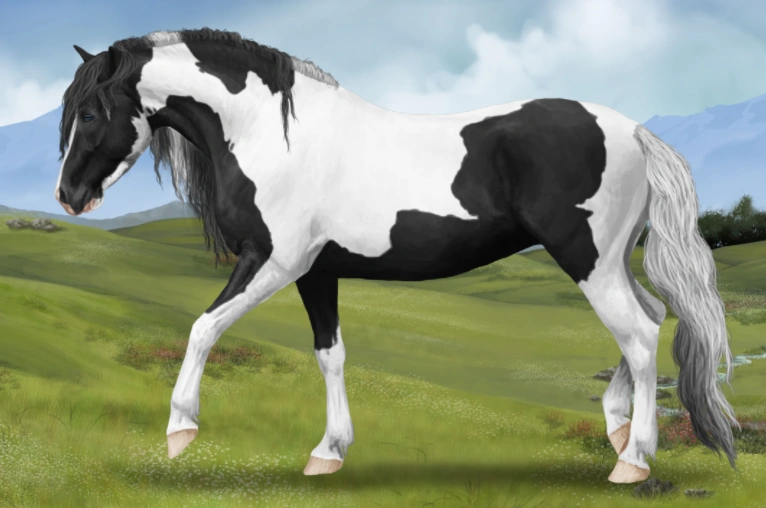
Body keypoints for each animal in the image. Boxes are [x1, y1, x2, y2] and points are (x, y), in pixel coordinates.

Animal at [55, 28, 740, 484]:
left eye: (89, 111)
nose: (68, 197)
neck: (269, 134)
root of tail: (633, 131)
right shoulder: (316, 273)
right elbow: (329, 355)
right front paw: (328, 453)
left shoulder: (274, 261)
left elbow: (202, 327)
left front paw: (180, 431)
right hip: (610, 260)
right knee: (651, 319)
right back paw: (618, 428)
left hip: (587, 259)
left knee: (639, 337)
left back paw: (633, 461)